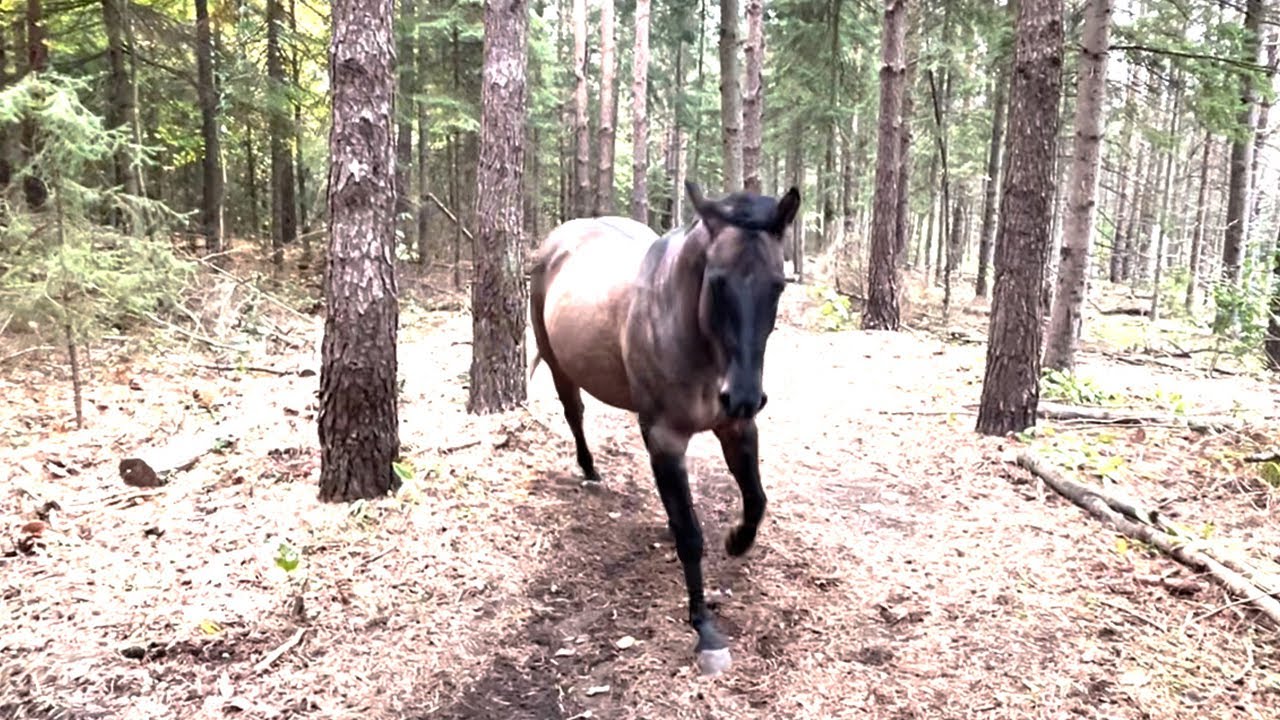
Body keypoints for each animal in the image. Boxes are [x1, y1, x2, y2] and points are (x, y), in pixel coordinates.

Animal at [529, 181, 801, 675]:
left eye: (777, 285)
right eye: (717, 281)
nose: (745, 395)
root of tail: (559, 238)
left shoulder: (736, 427)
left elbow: (756, 500)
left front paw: (736, 540)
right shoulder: (667, 439)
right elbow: (691, 536)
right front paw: (704, 630)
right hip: (558, 364)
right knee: (574, 412)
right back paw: (590, 471)